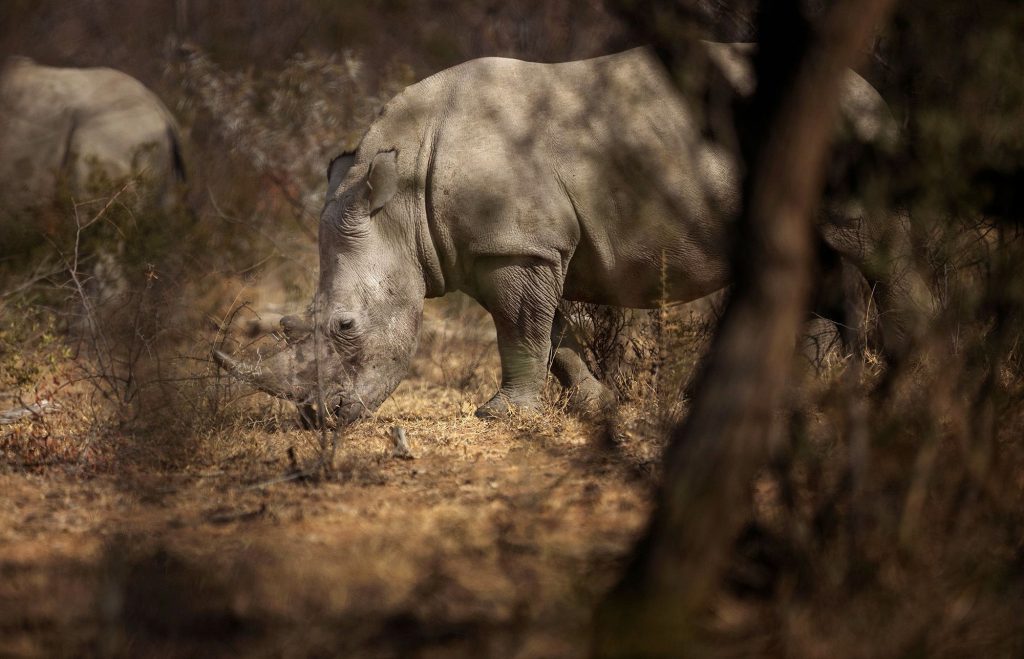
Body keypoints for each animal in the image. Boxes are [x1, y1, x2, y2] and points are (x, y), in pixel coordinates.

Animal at [215, 44, 919, 426]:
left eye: (345, 327)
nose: (315, 420)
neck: (401, 198)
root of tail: (868, 88)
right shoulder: (504, 247)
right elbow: (552, 334)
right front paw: (596, 404)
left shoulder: (516, 245)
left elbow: (521, 328)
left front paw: (503, 415)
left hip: (852, 135)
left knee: (870, 244)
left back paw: (914, 365)